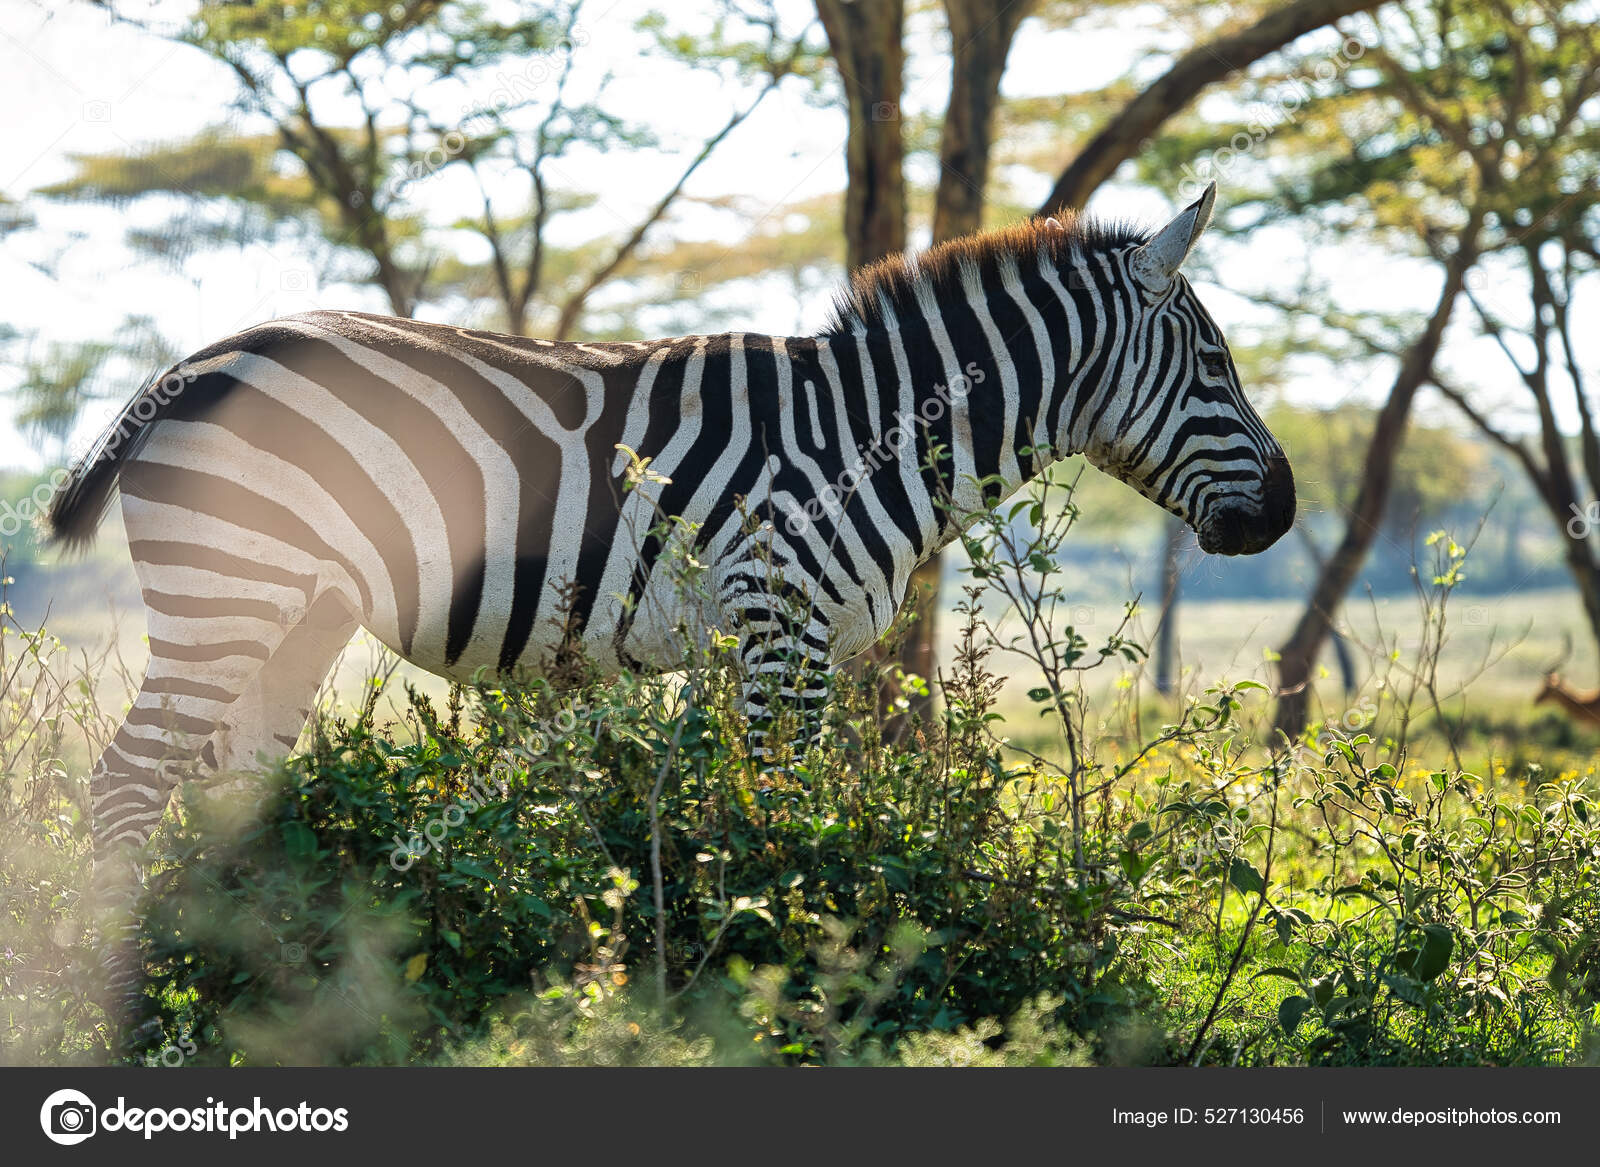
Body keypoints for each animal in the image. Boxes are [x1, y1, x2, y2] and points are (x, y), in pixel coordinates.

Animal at [42, 180, 1293, 1041]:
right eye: (1215, 366)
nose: (1282, 511)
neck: (872, 435)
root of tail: (186, 366)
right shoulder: (783, 624)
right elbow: (784, 819)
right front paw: (796, 987)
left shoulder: (780, 643)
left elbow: (748, 820)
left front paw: (752, 965)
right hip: (231, 584)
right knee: (125, 786)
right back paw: (123, 1002)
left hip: (298, 611)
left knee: (229, 790)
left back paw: (268, 990)